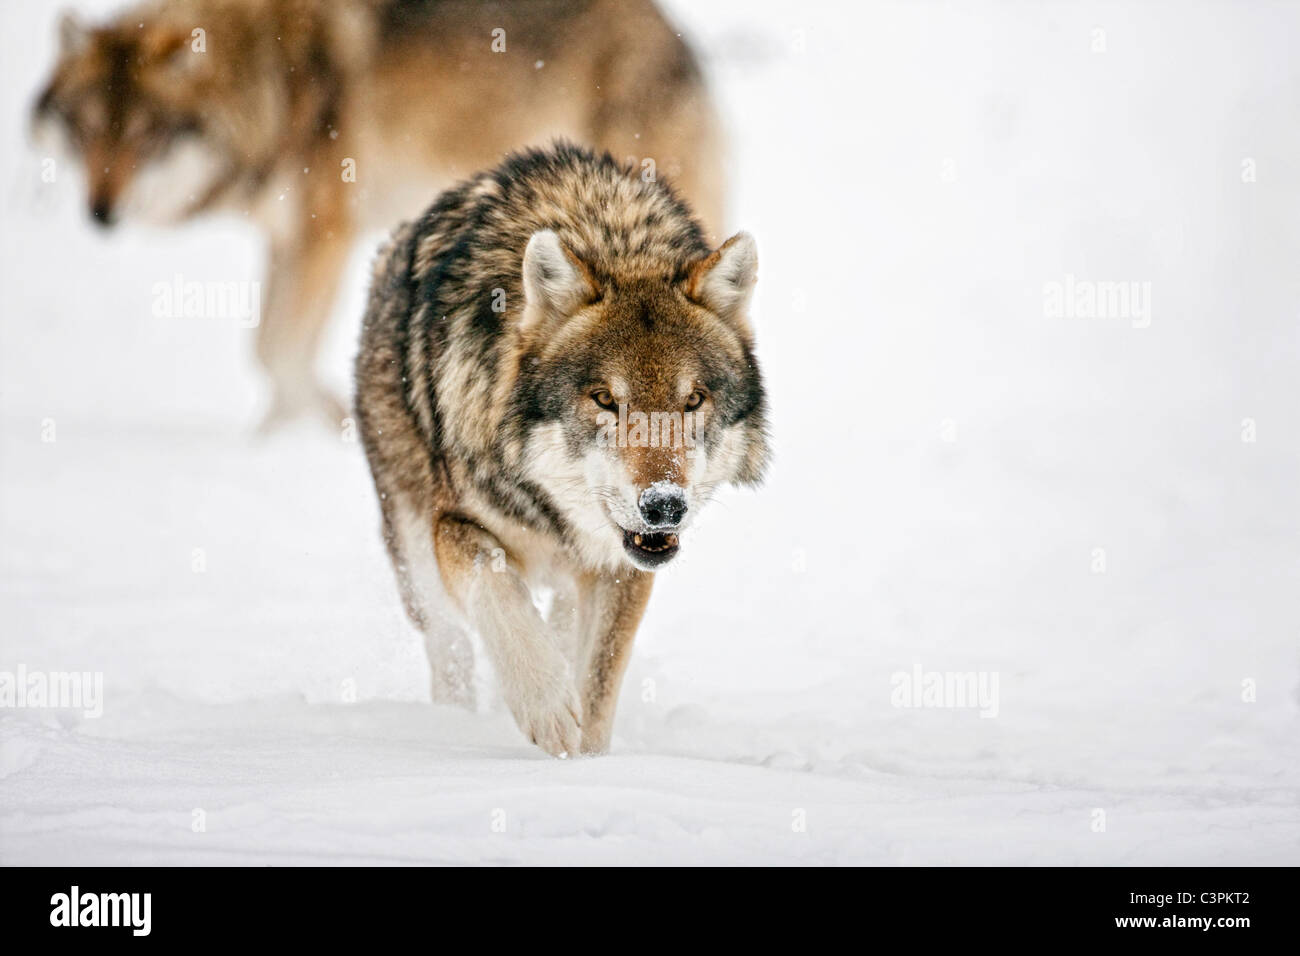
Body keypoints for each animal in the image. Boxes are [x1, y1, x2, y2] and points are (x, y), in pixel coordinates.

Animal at [32, 0, 724, 427]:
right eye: (86, 130)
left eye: (145, 136)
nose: (99, 213)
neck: (265, 79)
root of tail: (676, 35)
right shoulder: (286, 241)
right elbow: (265, 348)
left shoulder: (324, 234)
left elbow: (281, 349)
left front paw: (308, 427)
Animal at [354, 143, 768, 755]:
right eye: (605, 400)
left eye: (693, 400)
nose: (665, 506)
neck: (610, 236)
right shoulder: (453, 526)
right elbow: (499, 591)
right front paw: (547, 710)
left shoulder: (622, 566)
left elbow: (598, 680)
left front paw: (585, 760)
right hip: (412, 550)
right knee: (449, 645)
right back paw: (453, 721)